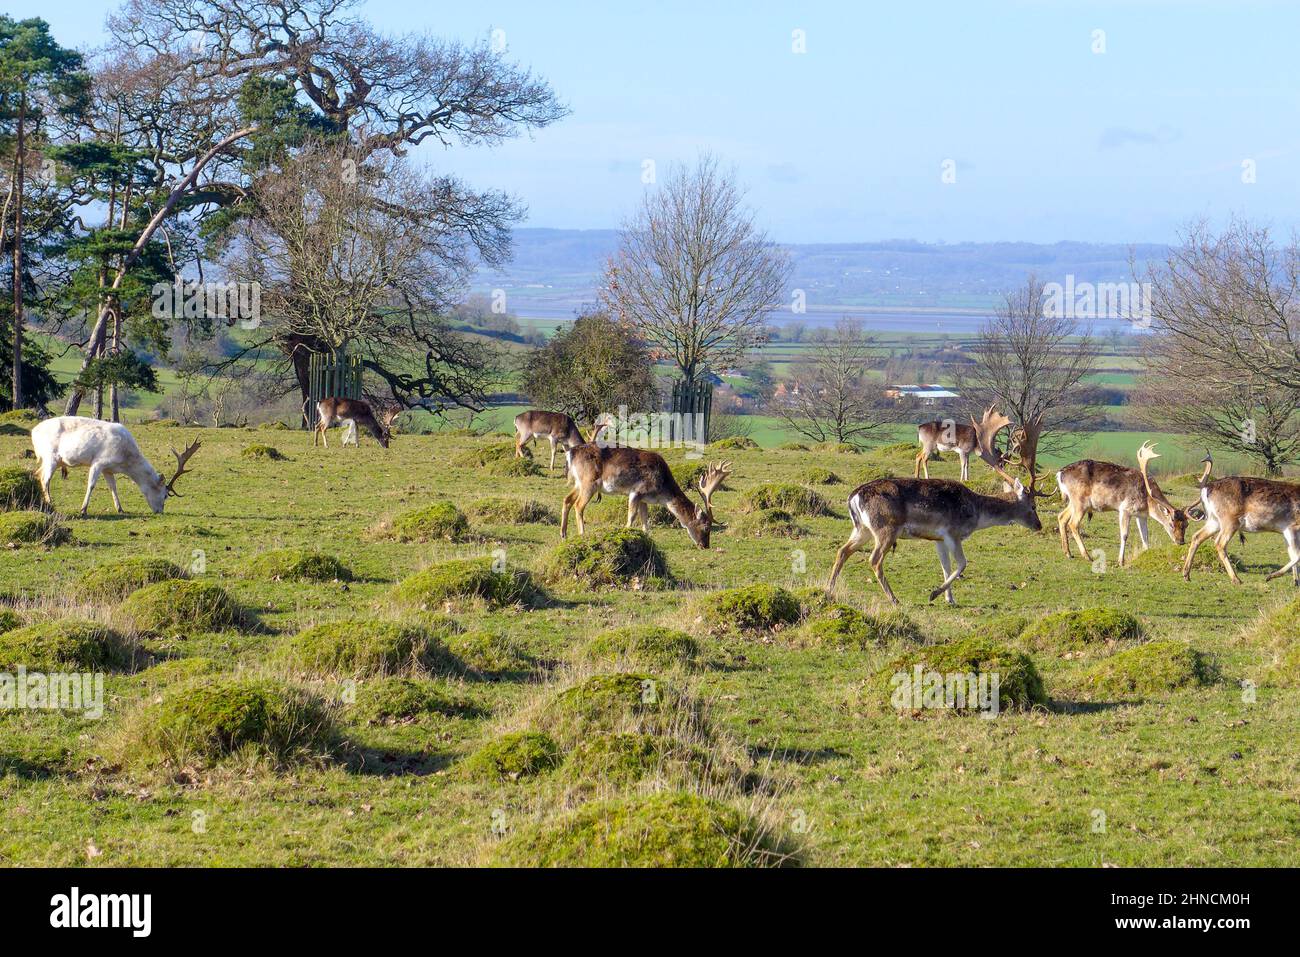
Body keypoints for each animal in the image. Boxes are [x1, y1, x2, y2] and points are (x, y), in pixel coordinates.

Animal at [30, 416, 200, 516]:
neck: (124, 460)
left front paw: (120, 509)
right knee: (45, 479)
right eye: (165, 495)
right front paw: (83, 510)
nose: (160, 511)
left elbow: (113, 487)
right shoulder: (98, 462)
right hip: (51, 456)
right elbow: (91, 485)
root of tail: (33, 432)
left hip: (52, 460)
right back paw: (50, 503)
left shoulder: (108, 469)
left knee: (38, 473)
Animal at [561, 444, 731, 549]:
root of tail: (570, 453)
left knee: (567, 499)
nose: (705, 545)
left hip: (579, 483)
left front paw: (647, 540)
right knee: (578, 505)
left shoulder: (644, 500)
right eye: (706, 527)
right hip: (589, 482)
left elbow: (645, 522)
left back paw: (564, 534)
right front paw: (625, 536)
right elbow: (631, 517)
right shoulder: (636, 491)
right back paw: (582, 535)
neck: (662, 492)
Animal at [830, 414, 1044, 604]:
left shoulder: (938, 538)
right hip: (886, 528)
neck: (976, 513)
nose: (1039, 525)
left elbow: (946, 567)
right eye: (1033, 506)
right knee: (874, 560)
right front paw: (934, 594)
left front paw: (950, 599)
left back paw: (829, 588)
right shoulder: (952, 532)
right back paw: (894, 599)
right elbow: (962, 564)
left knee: (842, 551)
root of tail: (853, 497)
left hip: (862, 528)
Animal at [1056, 442, 1194, 566]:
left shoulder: (1141, 515)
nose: (1181, 541)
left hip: (1074, 502)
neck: (1147, 501)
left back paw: (1068, 553)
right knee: (1073, 524)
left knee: (1061, 516)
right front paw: (1121, 561)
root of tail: (1059, 474)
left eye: (1186, 524)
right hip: (1080, 502)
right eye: (1171, 523)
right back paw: (1087, 556)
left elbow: (1145, 537)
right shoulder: (1125, 509)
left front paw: (1145, 554)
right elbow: (1124, 535)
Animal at [1182, 453, 1300, 585]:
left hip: (1214, 520)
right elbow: (1296, 555)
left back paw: (1186, 575)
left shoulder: (1286, 530)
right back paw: (1236, 579)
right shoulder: (1292, 526)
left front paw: (1296, 581)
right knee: (1220, 543)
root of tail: (1206, 488)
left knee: (1197, 536)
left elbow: (1292, 553)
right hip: (1230, 520)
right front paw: (1270, 576)